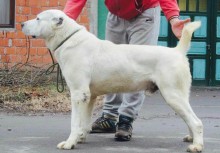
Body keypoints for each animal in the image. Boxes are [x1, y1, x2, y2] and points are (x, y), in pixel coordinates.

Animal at [21, 9, 203, 153]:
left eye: (38, 18)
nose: (22, 24)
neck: (68, 38)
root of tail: (177, 51)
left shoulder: (78, 94)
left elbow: (74, 122)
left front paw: (70, 143)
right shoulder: (89, 97)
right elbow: (84, 122)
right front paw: (80, 138)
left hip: (172, 95)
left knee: (197, 122)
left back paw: (196, 146)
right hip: (180, 96)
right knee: (189, 118)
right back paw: (191, 138)